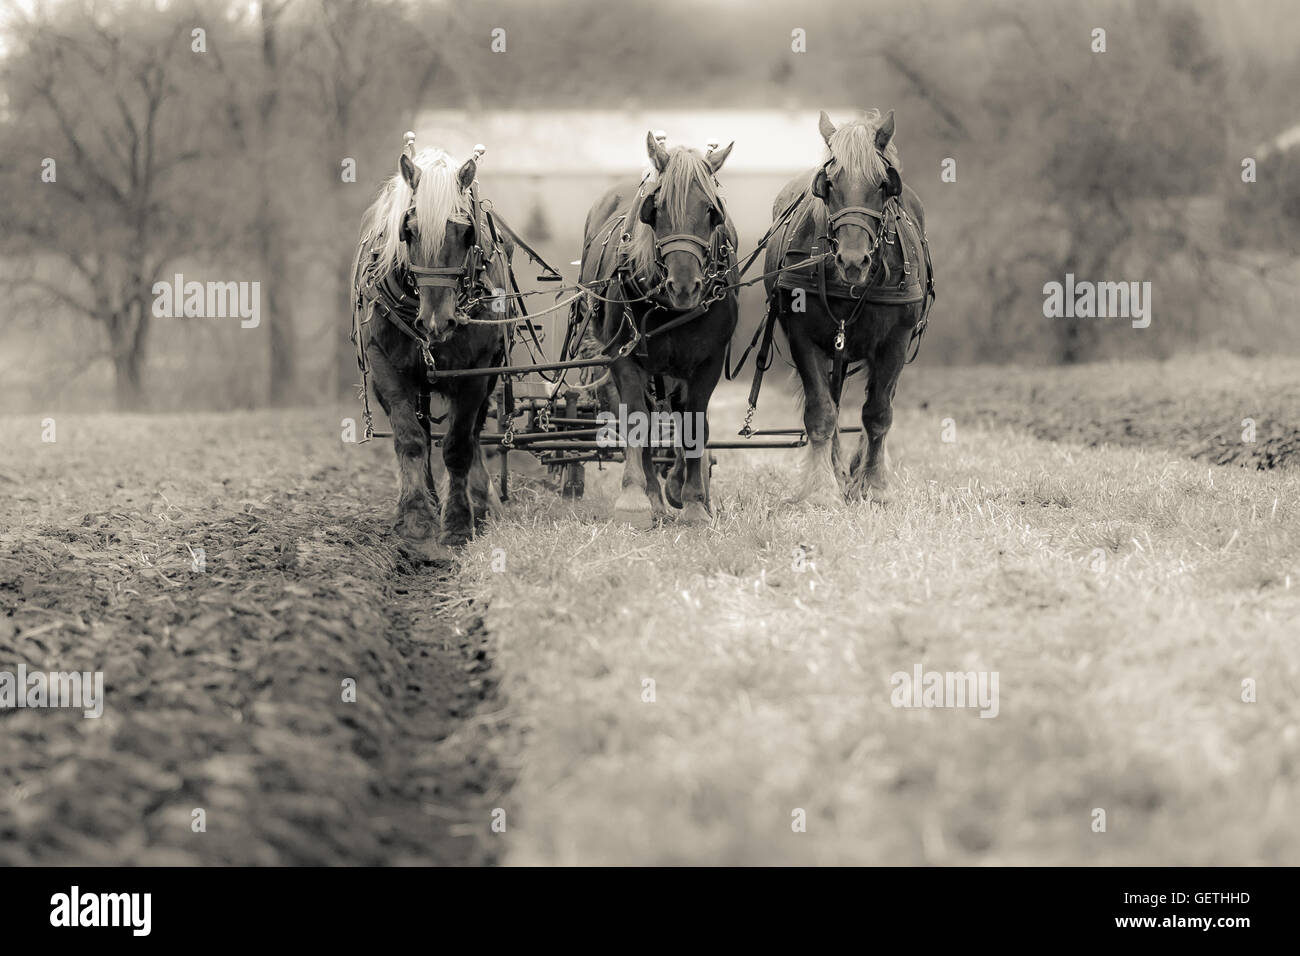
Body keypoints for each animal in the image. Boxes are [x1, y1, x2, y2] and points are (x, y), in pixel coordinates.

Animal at [351, 145, 514, 557]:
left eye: (467, 232)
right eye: (408, 231)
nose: (436, 322)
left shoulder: (475, 373)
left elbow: (458, 446)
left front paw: (457, 524)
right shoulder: (386, 367)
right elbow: (410, 440)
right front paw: (416, 521)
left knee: (473, 433)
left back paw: (481, 501)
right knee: (422, 432)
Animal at [577, 133, 738, 527]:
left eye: (711, 211)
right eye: (657, 209)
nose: (684, 286)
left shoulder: (709, 361)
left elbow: (694, 422)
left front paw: (694, 501)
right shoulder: (623, 355)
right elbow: (638, 418)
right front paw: (636, 499)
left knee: (678, 411)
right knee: (648, 413)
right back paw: (654, 492)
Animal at [763, 110, 934, 507]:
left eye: (883, 184)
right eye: (829, 183)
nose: (853, 260)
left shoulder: (896, 340)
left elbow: (878, 412)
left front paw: (873, 484)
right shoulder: (804, 337)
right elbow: (822, 411)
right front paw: (822, 487)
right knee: (834, 400)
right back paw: (839, 468)